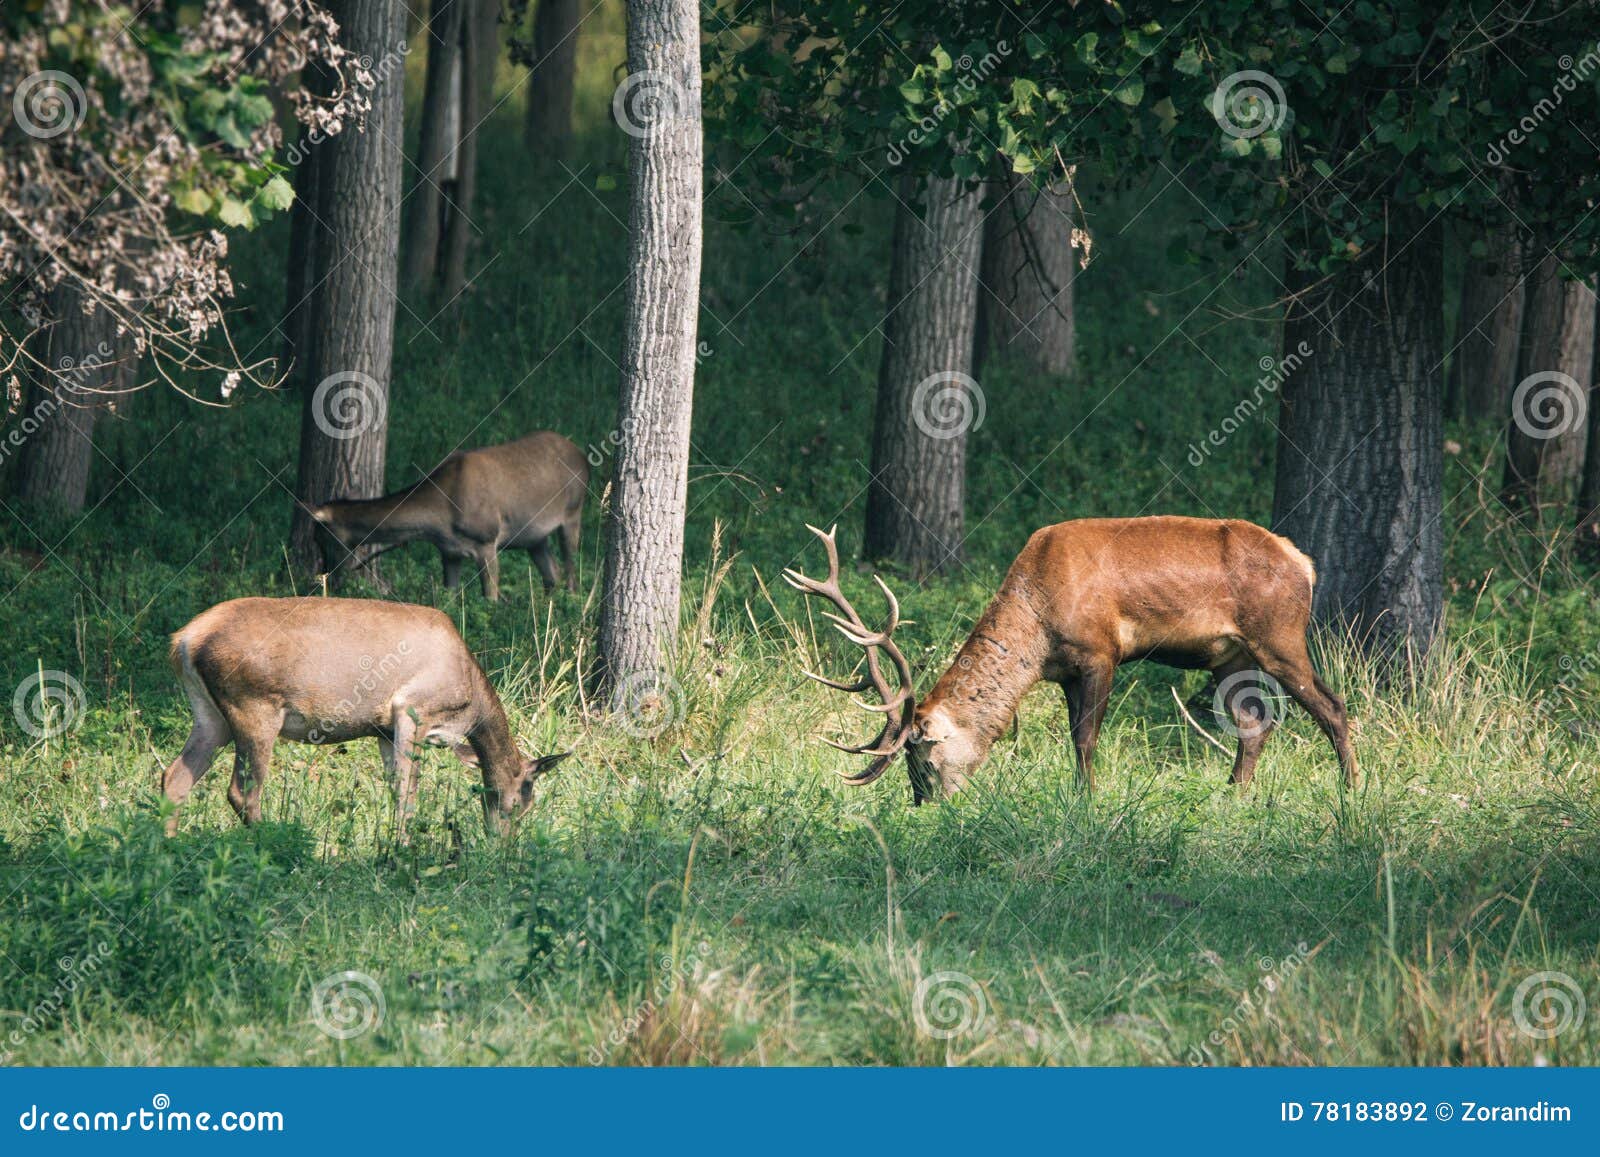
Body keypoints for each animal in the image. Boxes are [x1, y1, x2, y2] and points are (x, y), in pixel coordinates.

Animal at [160, 596, 570, 841]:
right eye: (522, 802)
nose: (503, 845)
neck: (470, 704)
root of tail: (184, 640)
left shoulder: (383, 730)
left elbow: (394, 787)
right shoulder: (411, 710)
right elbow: (408, 792)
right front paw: (405, 847)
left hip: (209, 715)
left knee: (175, 776)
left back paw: (166, 840)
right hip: (254, 707)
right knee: (243, 791)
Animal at [302, 430, 589, 602]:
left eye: (321, 536)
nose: (326, 578)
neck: (439, 521)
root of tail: (583, 456)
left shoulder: (487, 540)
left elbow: (490, 599)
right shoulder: (449, 552)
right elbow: (448, 597)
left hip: (574, 510)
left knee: (571, 572)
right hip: (534, 537)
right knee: (552, 574)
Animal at [785, 518, 1356, 803]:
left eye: (920, 758)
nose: (926, 804)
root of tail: (1303, 563)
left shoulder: (1100, 651)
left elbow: (1085, 739)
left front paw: (1087, 805)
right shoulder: (1063, 672)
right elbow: (1073, 736)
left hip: (1279, 636)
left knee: (1332, 705)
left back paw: (1351, 793)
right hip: (1229, 655)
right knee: (1253, 722)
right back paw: (1231, 796)